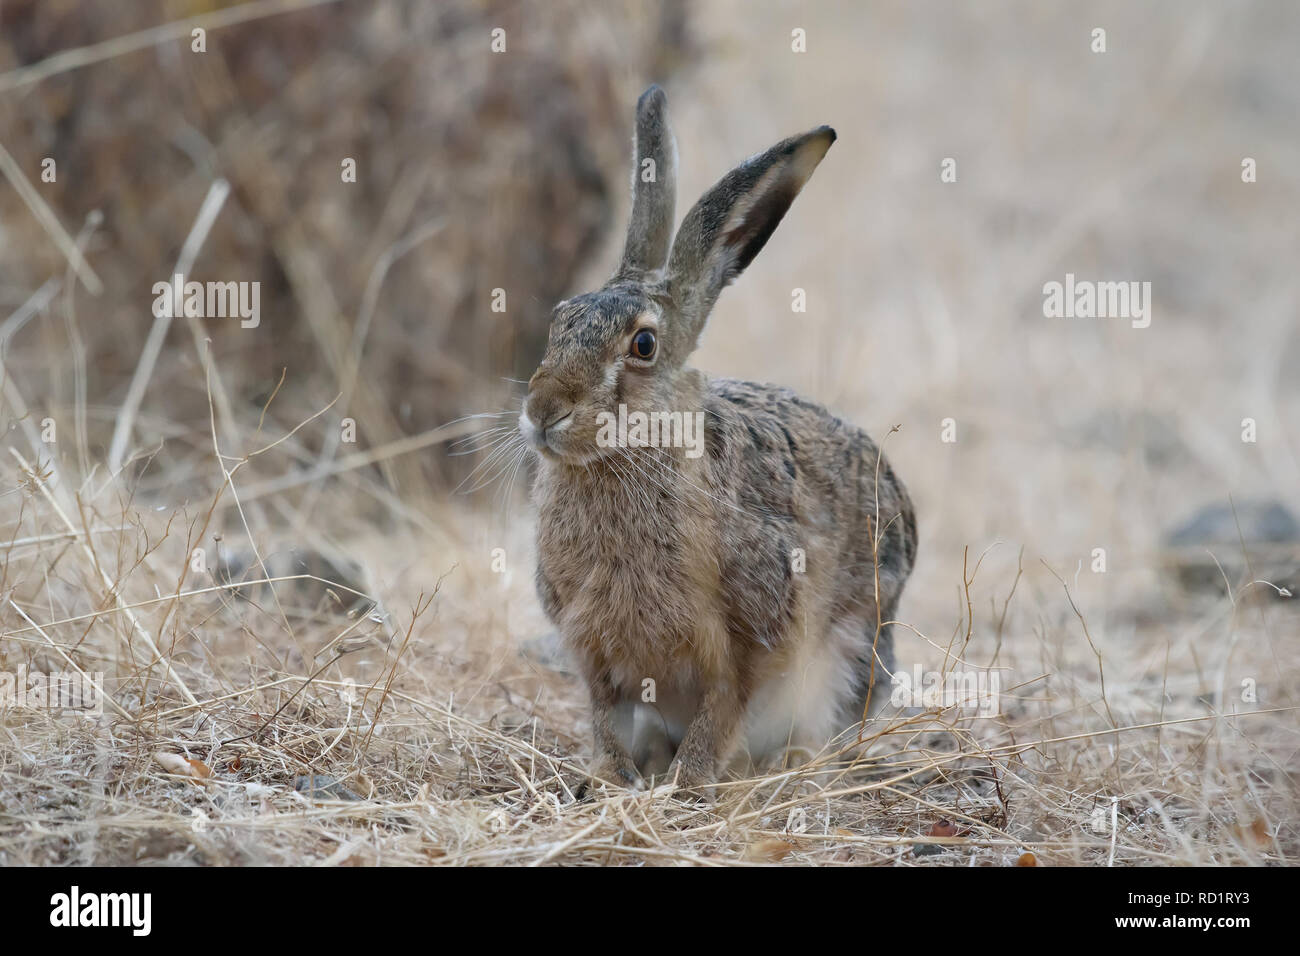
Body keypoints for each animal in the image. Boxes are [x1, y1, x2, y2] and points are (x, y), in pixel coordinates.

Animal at [521, 85, 916, 791]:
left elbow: (723, 707)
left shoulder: (752, 636)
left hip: (854, 649)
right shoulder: (590, 647)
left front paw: (688, 783)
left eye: (643, 346)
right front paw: (612, 777)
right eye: (560, 320)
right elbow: (604, 712)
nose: (542, 411)